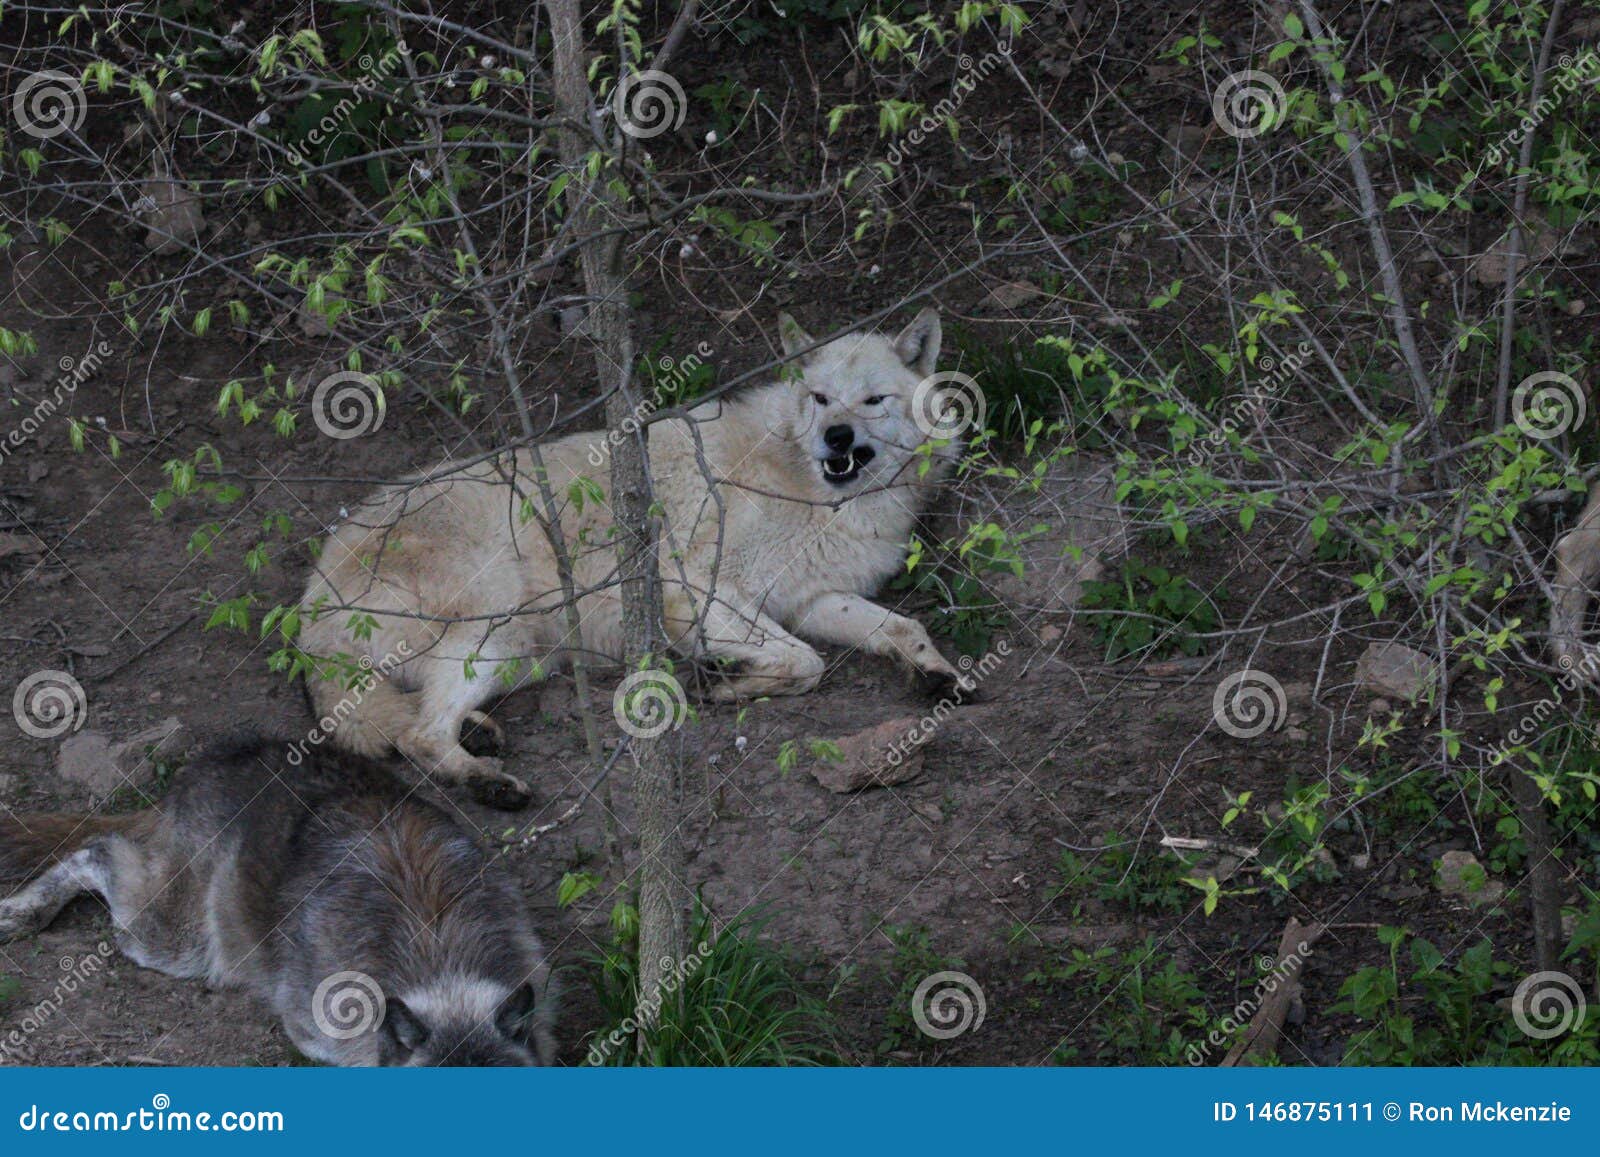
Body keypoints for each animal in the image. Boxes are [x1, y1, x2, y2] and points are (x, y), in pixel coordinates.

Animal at [0, 734, 556, 1066]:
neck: (436, 945)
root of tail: (200, 767)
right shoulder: (314, 1033)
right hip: (169, 940)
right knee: (97, 849)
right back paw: (23, 911)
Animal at [299, 308, 967, 807]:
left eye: (873, 400)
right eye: (821, 398)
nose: (835, 437)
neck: (814, 489)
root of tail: (305, 611)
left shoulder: (813, 598)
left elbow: (900, 627)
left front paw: (937, 671)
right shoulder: (697, 587)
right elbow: (808, 662)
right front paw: (727, 682)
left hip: (518, 654)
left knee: (419, 714)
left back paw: (481, 738)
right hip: (500, 619)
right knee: (417, 733)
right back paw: (490, 784)